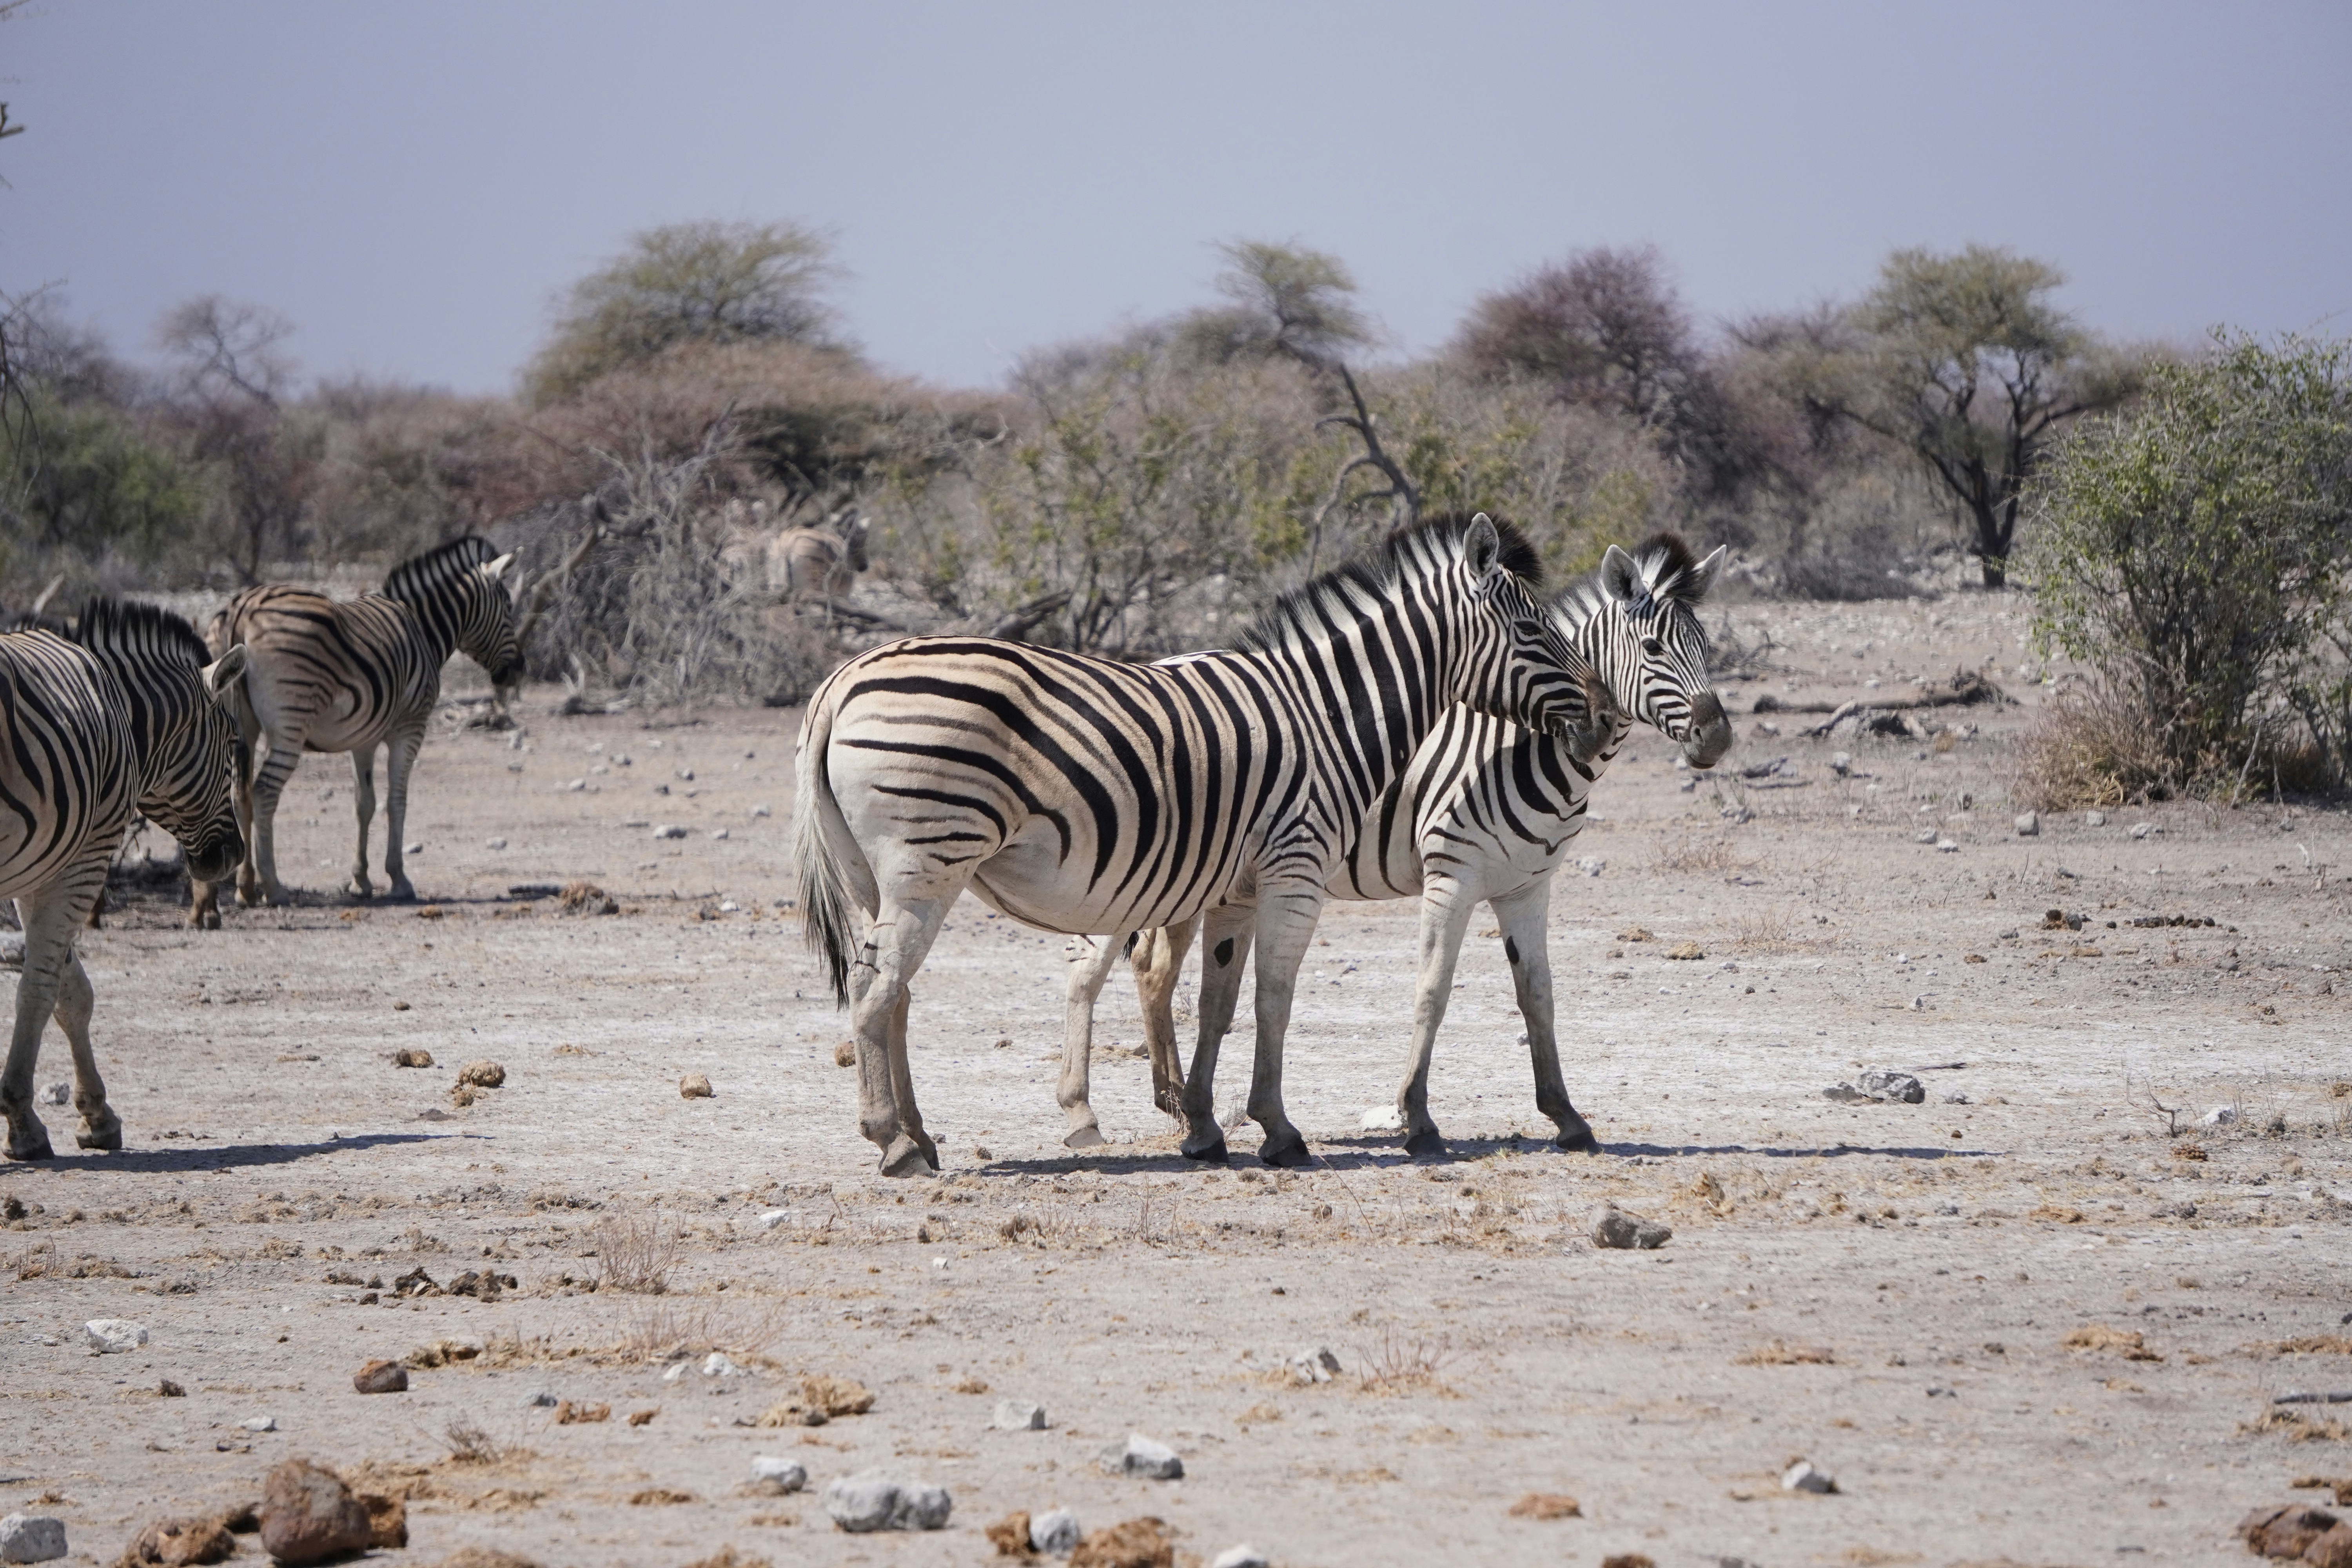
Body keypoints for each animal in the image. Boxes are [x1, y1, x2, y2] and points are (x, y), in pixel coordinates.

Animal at [0, 601, 248, 1160]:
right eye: (231, 741)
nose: (234, 855)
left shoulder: (40, 868)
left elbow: (70, 993)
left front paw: (96, 1116)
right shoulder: (82, 860)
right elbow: (44, 988)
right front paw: (24, 1121)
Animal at [192, 536, 520, 919]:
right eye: (509, 607)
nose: (519, 671)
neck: (423, 630)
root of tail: (241, 610)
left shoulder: (363, 737)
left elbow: (364, 803)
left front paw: (360, 881)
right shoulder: (411, 727)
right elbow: (396, 801)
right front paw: (399, 879)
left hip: (240, 723)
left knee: (240, 794)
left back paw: (245, 889)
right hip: (290, 723)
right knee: (264, 793)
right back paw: (273, 888)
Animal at [795, 513, 1618, 1176]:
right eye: (1534, 631)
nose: (1606, 718)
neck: (1329, 717)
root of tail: (843, 678)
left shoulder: (1236, 891)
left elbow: (1219, 1004)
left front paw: (1204, 1129)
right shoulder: (1296, 871)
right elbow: (1275, 999)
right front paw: (1280, 1132)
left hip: (877, 876)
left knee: (894, 995)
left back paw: (921, 1137)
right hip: (926, 863)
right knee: (876, 991)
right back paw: (894, 1144)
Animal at [1058, 532, 1731, 1156]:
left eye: (1709, 648)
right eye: (1653, 649)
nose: (1718, 736)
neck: (1517, 748)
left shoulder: (1527, 888)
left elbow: (1538, 997)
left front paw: (1566, 1116)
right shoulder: (1452, 875)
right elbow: (1432, 992)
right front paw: (1418, 1119)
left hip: (1188, 877)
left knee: (1153, 969)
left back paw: (1175, 1102)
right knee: (1088, 973)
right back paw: (1084, 1113)